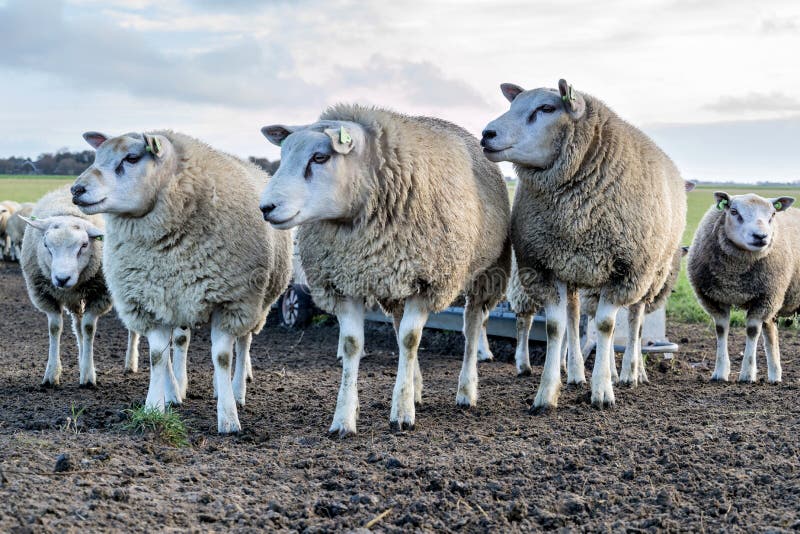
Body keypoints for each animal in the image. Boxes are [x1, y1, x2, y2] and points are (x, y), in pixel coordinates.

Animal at [19, 185, 138, 386]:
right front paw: (52, 374)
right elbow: (55, 328)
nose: (62, 279)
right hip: (75, 299)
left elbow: (89, 328)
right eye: (46, 245)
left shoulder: (100, 294)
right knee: (78, 325)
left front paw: (88, 376)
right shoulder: (45, 295)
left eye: (84, 245)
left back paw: (130, 364)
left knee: (132, 326)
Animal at [71, 130, 292, 434]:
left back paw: (236, 390)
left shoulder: (231, 301)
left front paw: (228, 418)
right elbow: (158, 356)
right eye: (96, 157)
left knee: (243, 342)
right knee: (180, 342)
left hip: (256, 304)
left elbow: (223, 358)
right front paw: (154, 407)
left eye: (131, 158)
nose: (76, 190)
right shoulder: (151, 300)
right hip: (179, 298)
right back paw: (177, 389)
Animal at [260, 105, 511, 436]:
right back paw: (416, 387)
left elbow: (410, 339)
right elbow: (353, 345)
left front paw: (402, 413)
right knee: (398, 325)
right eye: (284, 153)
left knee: (470, 329)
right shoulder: (344, 280)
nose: (266, 207)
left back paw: (466, 392)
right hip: (393, 282)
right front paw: (344, 419)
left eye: (320, 157)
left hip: (485, 273)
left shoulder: (427, 281)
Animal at [482, 78, 686, 411]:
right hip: (575, 270)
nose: (487, 134)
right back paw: (577, 374)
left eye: (546, 108)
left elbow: (605, 327)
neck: (576, 214)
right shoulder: (545, 267)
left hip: (645, 276)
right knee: (574, 316)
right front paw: (546, 393)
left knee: (634, 322)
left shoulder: (624, 271)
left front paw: (602, 390)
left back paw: (629, 373)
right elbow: (556, 328)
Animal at [687, 192, 798, 383]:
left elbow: (752, 331)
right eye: (733, 211)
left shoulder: (765, 298)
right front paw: (720, 372)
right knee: (770, 332)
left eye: (773, 214)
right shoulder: (714, 299)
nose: (760, 236)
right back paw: (775, 375)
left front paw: (747, 374)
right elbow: (721, 330)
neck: (734, 276)